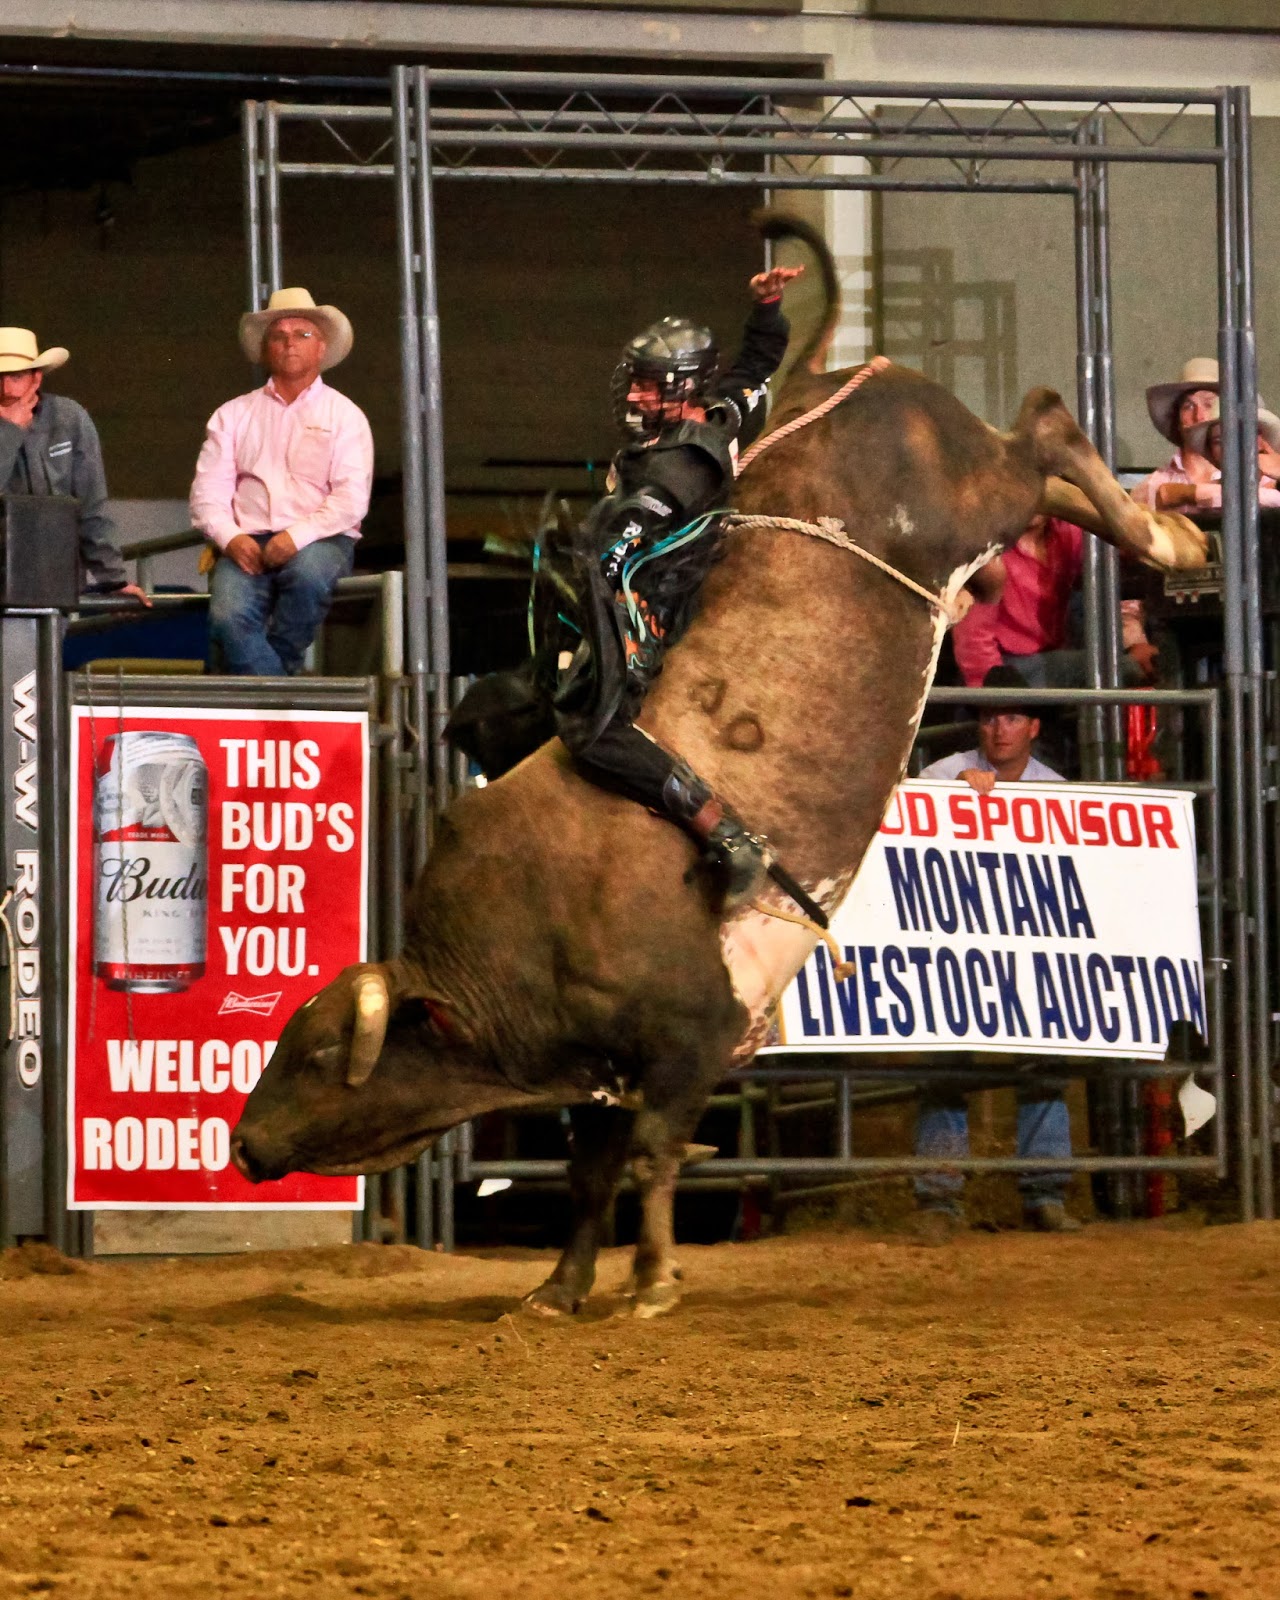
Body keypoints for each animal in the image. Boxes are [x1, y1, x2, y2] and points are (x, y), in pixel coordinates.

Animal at [231, 230, 1205, 1317]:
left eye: (318, 1054)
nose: (239, 1142)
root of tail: (831, 382)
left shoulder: (687, 1041)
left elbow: (654, 1157)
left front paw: (652, 1281)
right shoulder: (600, 1072)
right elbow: (592, 1172)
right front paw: (558, 1289)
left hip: (974, 497)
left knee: (1044, 426)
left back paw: (1167, 535)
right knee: (1051, 473)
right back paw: (1175, 526)